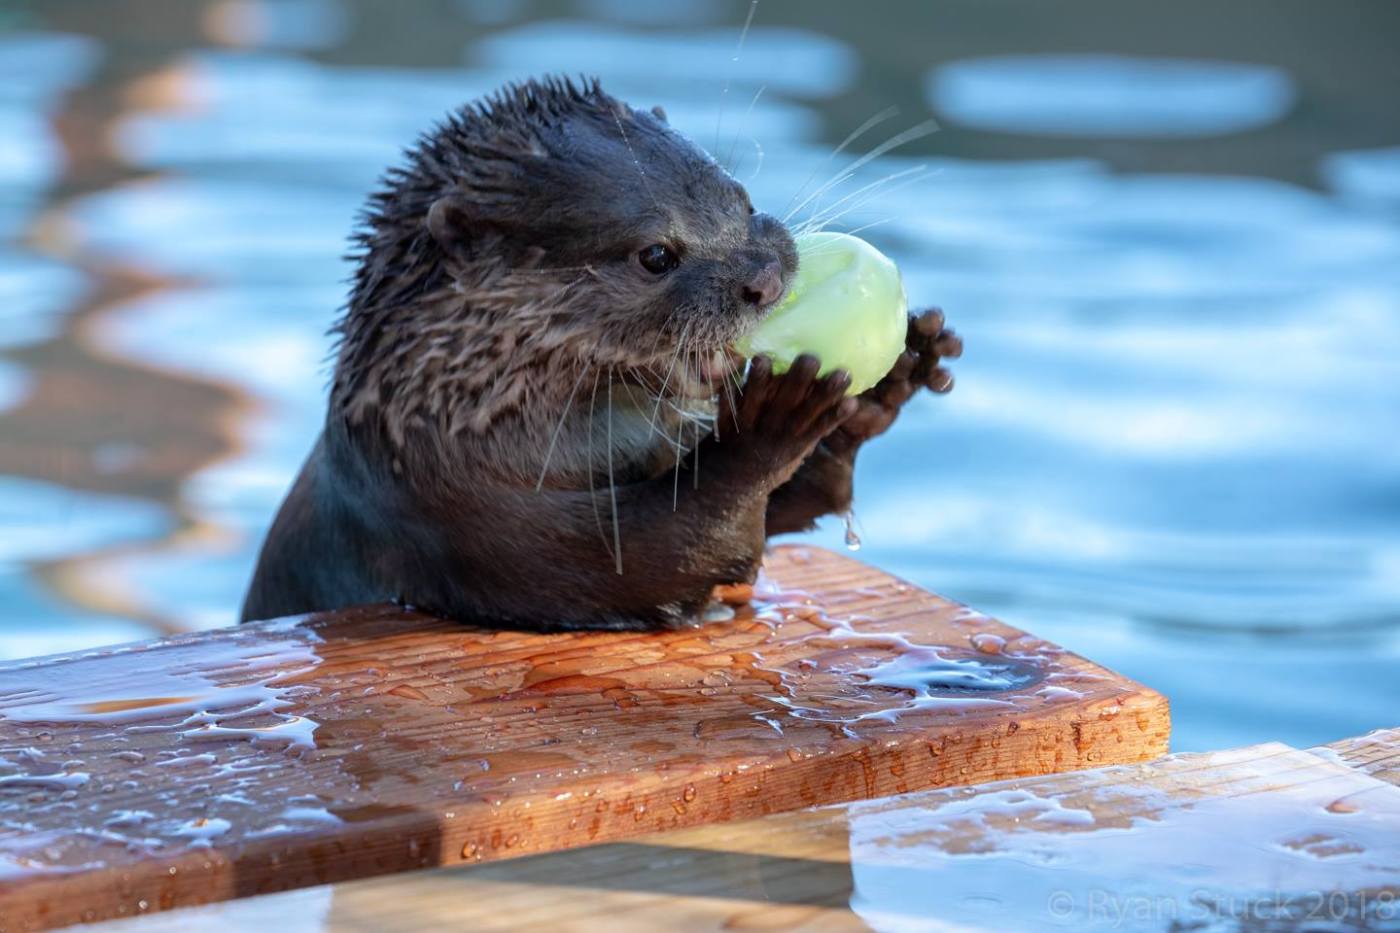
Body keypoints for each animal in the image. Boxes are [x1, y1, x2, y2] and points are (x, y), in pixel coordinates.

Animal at [241, 77, 959, 631]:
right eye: (656, 255)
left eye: (745, 200)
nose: (765, 278)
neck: (453, 421)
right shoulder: (465, 524)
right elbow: (664, 555)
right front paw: (775, 422)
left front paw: (893, 376)